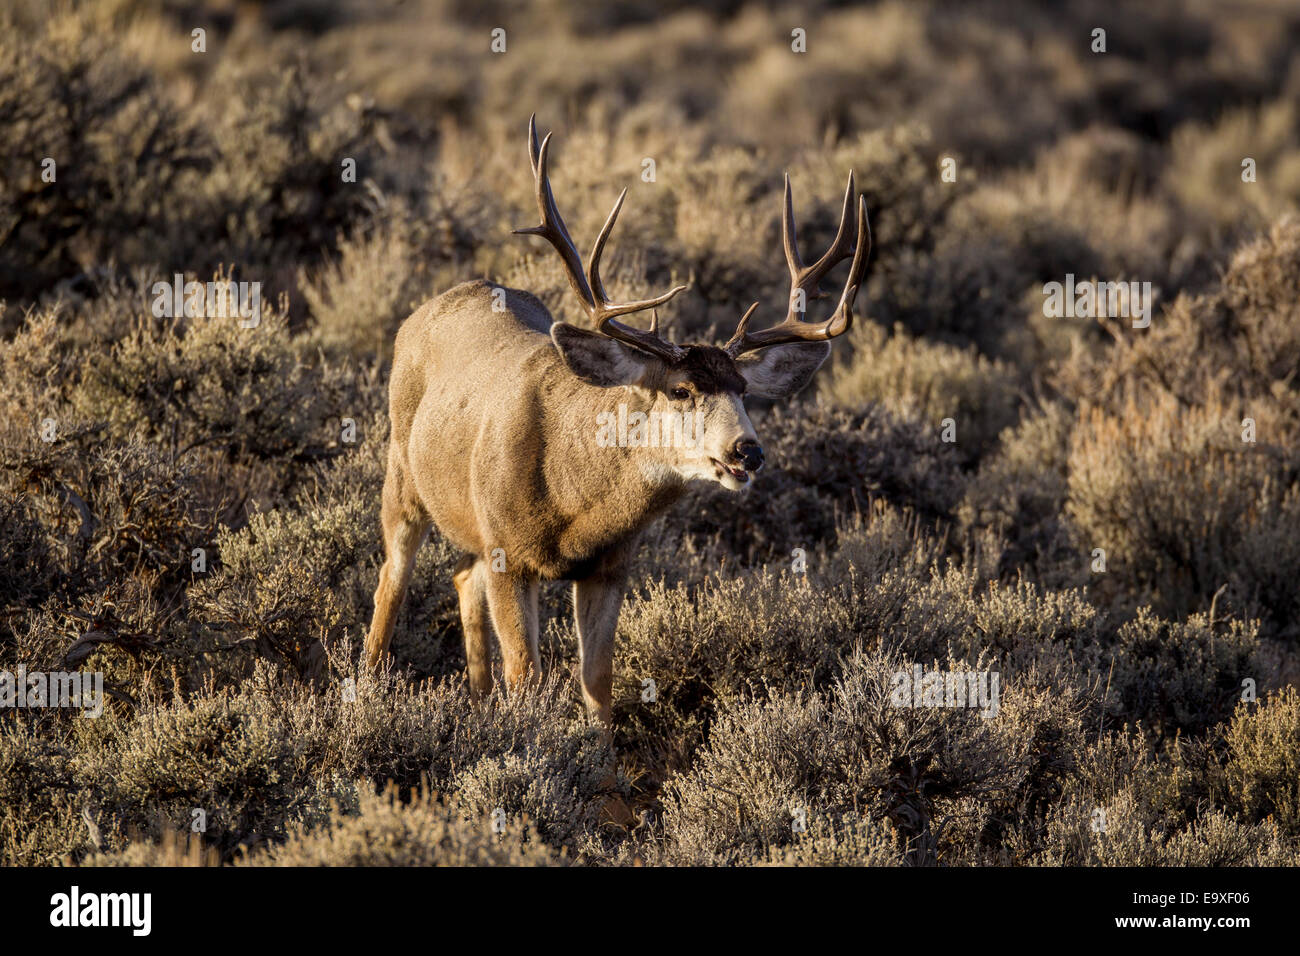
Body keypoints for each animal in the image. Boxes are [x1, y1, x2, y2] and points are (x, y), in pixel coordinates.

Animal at [364, 116, 871, 725]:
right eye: (680, 390)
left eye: (744, 389)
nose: (747, 451)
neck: (572, 505)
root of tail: (430, 305)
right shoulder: (509, 553)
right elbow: (527, 676)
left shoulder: (611, 565)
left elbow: (598, 683)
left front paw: (598, 750)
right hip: (402, 475)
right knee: (390, 582)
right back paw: (364, 692)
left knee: (463, 578)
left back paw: (478, 699)